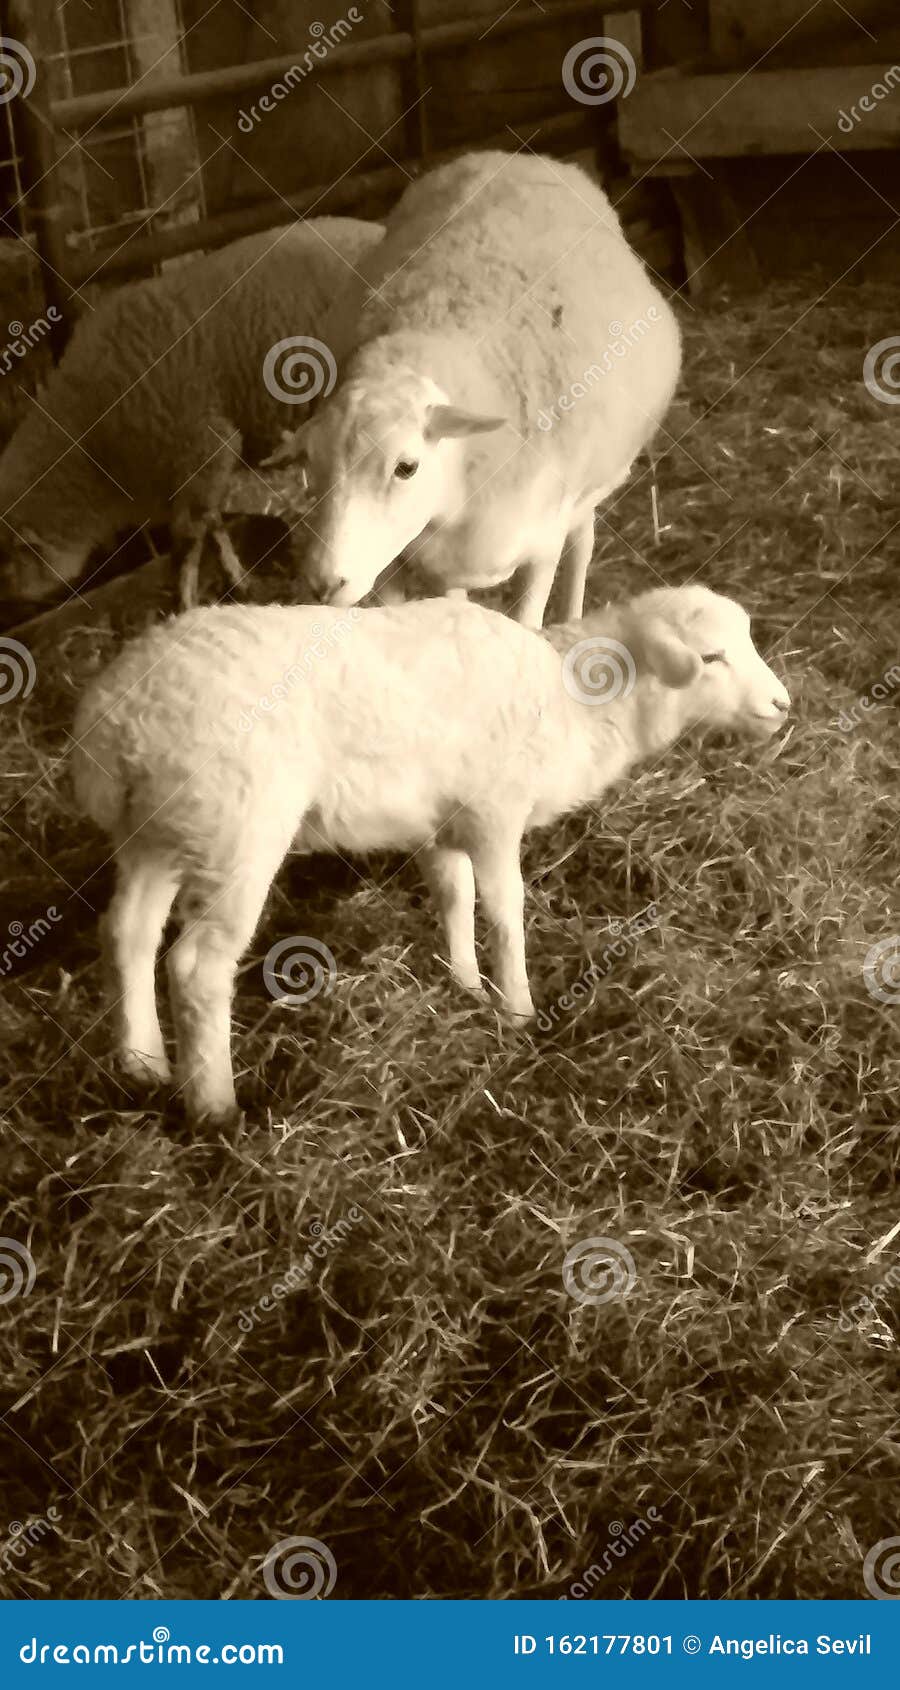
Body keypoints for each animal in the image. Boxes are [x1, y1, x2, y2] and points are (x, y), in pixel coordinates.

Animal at [0, 216, 384, 617]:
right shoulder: (192, 477)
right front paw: (237, 581)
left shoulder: (203, 450)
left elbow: (187, 543)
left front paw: (184, 603)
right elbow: (213, 526)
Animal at [72, 584, 790, 1125]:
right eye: (712, 657)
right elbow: (504, 908)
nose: (783, 704)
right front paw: (518, 1009)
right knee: (197, 967)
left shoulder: (444, 825)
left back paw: (141, 1063)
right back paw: (214, 1105)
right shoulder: (496, 810)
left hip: (158, 833)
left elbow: (454, 896)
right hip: (239, 828)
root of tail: (116, 722)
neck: (574, 703)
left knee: (127, 934)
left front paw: (465, 981)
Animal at [277, 150, 681, 626]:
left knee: (582, 543)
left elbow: (529, 618)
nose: (325, 583)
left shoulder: (542, 545)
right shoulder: (412, 566)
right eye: (310, 463)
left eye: (406, 467)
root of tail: (518, 156)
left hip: (589, 487)